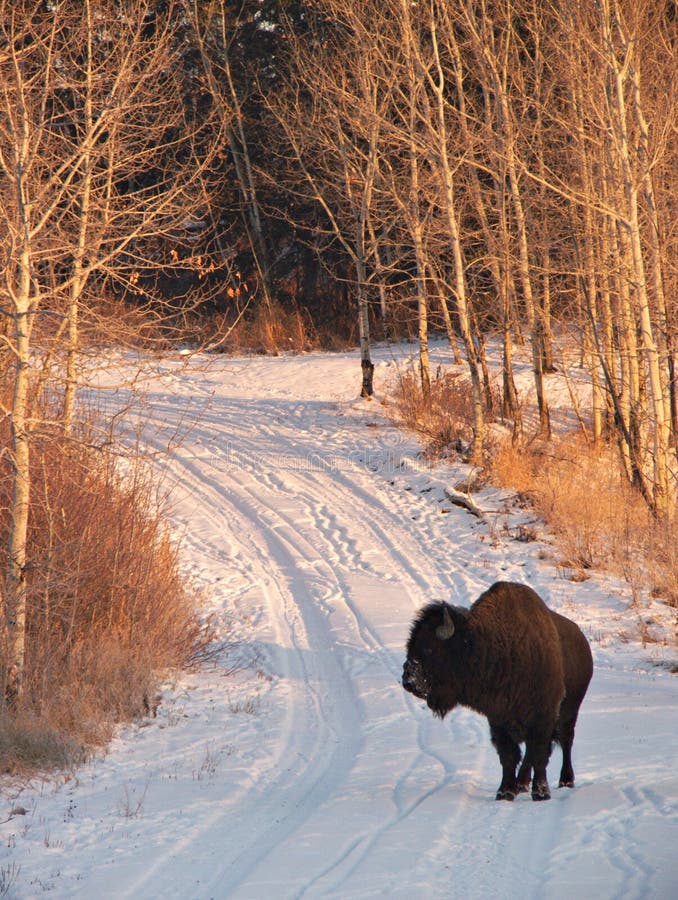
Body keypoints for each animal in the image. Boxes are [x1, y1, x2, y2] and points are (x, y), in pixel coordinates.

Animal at [402, 581, 593, 801]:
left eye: (429, 649)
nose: (407, 681)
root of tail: (583, 641)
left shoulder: (543, 717)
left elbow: (539, 754)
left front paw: (541, 793)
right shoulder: (498, 719)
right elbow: (509, 755)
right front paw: (505, 792)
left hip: (569, 712)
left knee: (565, 742)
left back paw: (565, 781)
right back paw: (521, 783)